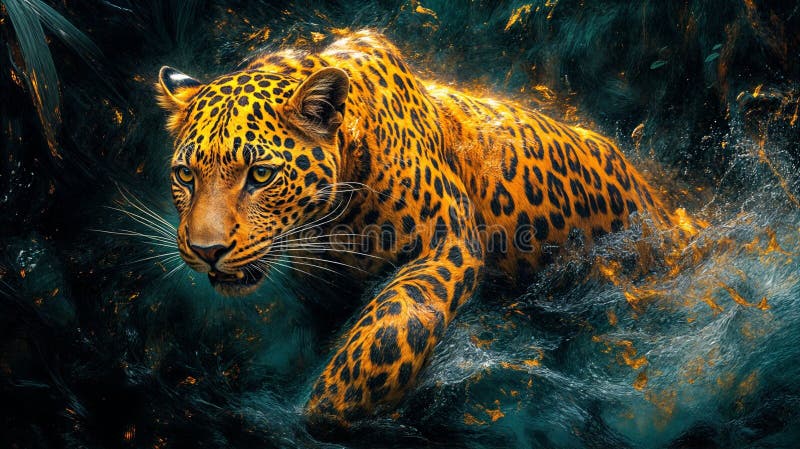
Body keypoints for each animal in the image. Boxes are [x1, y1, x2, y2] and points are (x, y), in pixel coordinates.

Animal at [156, 30, 698, 430]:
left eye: (260, 175)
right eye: (185, 175)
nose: (206, 249)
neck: (330, 224)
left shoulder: (447, 242)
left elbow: (392, 324)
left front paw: (328, 409)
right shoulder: (324, 288)